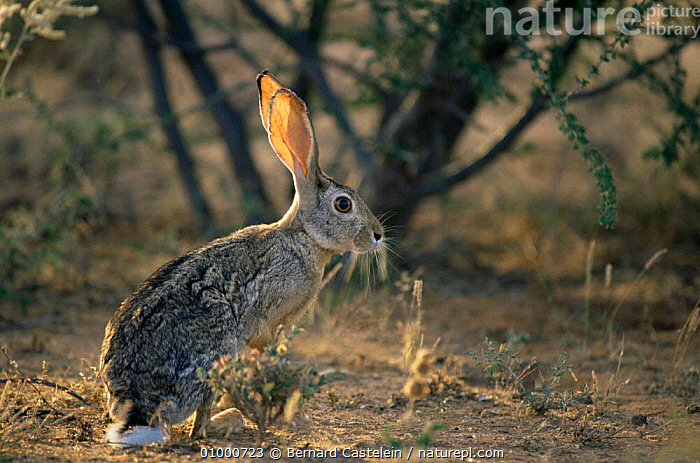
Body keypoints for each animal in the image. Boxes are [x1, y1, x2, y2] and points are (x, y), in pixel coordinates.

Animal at [99, 70, 384, 447]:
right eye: (343, 204)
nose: (378, 234)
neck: (303, 237)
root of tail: (137, 403)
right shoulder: (271, 324)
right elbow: (274, 361)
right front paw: (296, 417)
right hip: (215, 354)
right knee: (199, 425)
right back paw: (231, 417)